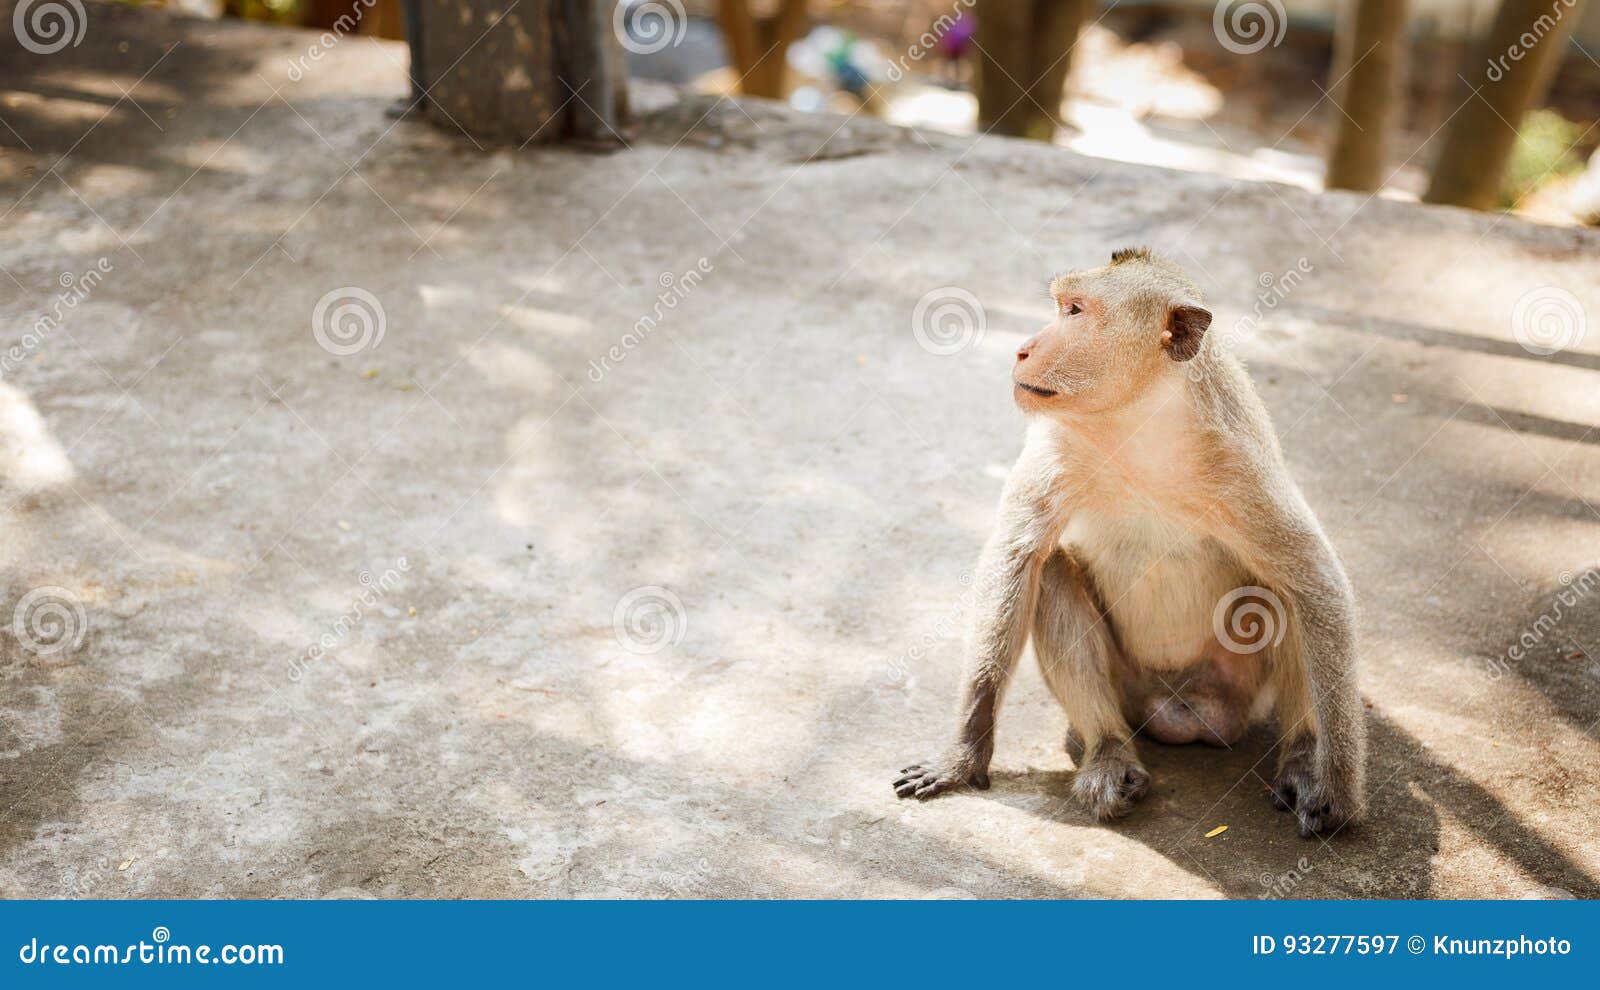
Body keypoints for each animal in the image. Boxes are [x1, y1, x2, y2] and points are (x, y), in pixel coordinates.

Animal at [892, 248, 1365, 838]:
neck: (1137, 423)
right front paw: (962, 755)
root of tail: (1182, 708)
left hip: (1235, 682)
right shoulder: (1057, 442)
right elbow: (1018, 559)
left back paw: (1300, 755)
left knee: (1279, 590)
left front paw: (1336, 789)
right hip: (1132, 688)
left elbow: (1314, 581)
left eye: (1074, 311)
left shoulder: (1241, 463)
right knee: (1052, 572)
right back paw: (1109, 752)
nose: (1023, 348)